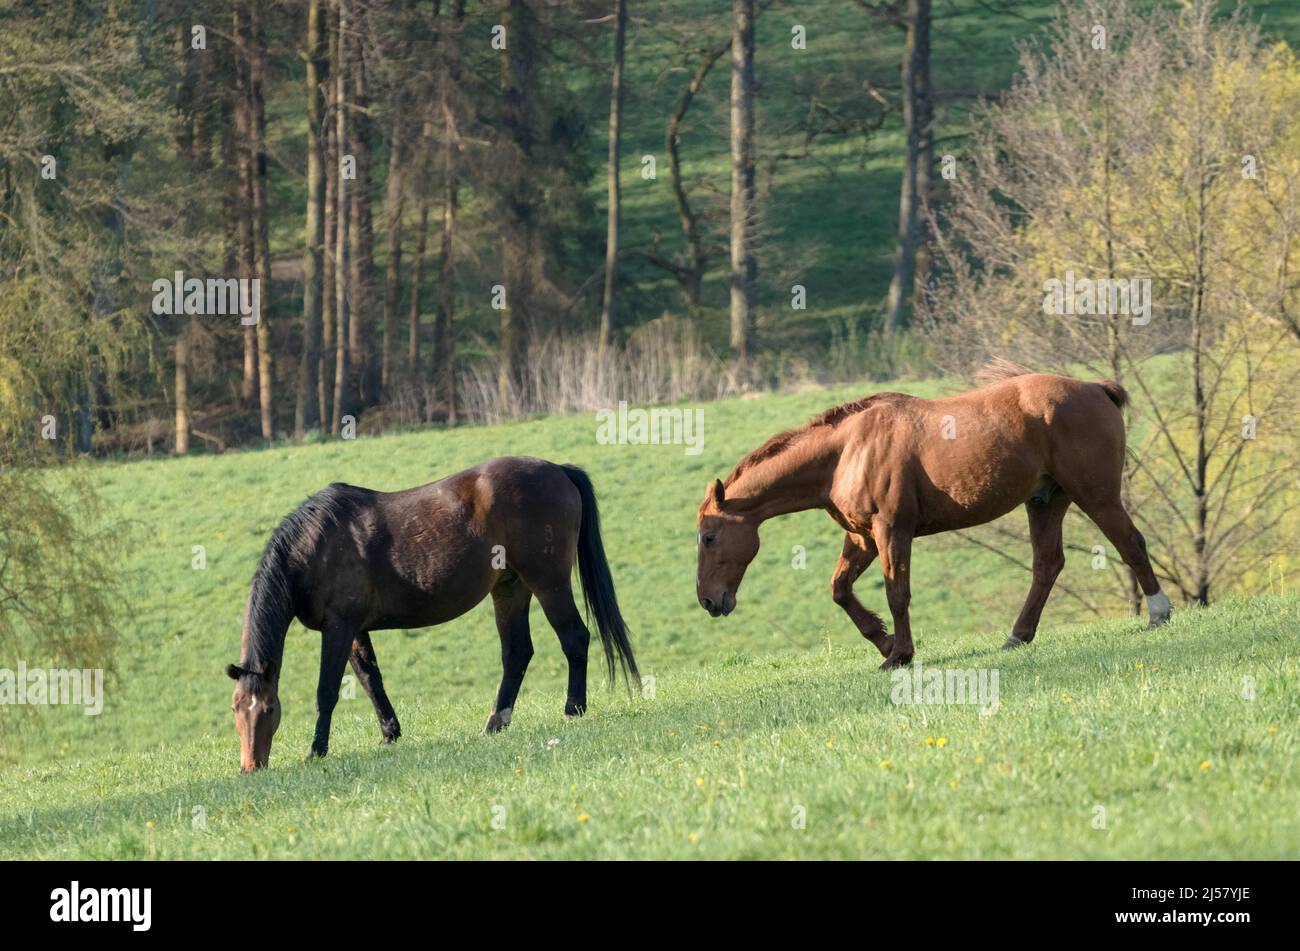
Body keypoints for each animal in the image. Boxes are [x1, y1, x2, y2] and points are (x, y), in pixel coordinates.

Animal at [225, 456, 638, 772]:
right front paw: (390, 733)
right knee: (517, 653)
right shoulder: (356, 630)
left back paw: (573, 709)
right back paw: (495, 722)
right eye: (236, 709)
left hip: (547, 582)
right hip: (510, 587)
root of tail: (559, 469)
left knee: (574, 638)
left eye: (269, 709)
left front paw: (316, 750)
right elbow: (371, 679)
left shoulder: (339, 627)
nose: (250, 767)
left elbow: (327, 690)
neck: (315, 546)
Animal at [695, 362, 1172, 669]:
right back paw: (1017, 636)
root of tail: (1095, 388)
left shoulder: (892, 531)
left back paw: (1159, 612)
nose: (708, 601)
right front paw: (885, 641)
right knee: (1047, 565)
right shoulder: (863, 537)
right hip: (1045, 501)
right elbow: (841, 590)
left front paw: (900, 654)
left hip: (1096, 495)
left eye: (708, 537)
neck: (847, 451)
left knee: (1130, 543)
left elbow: (897, 594)